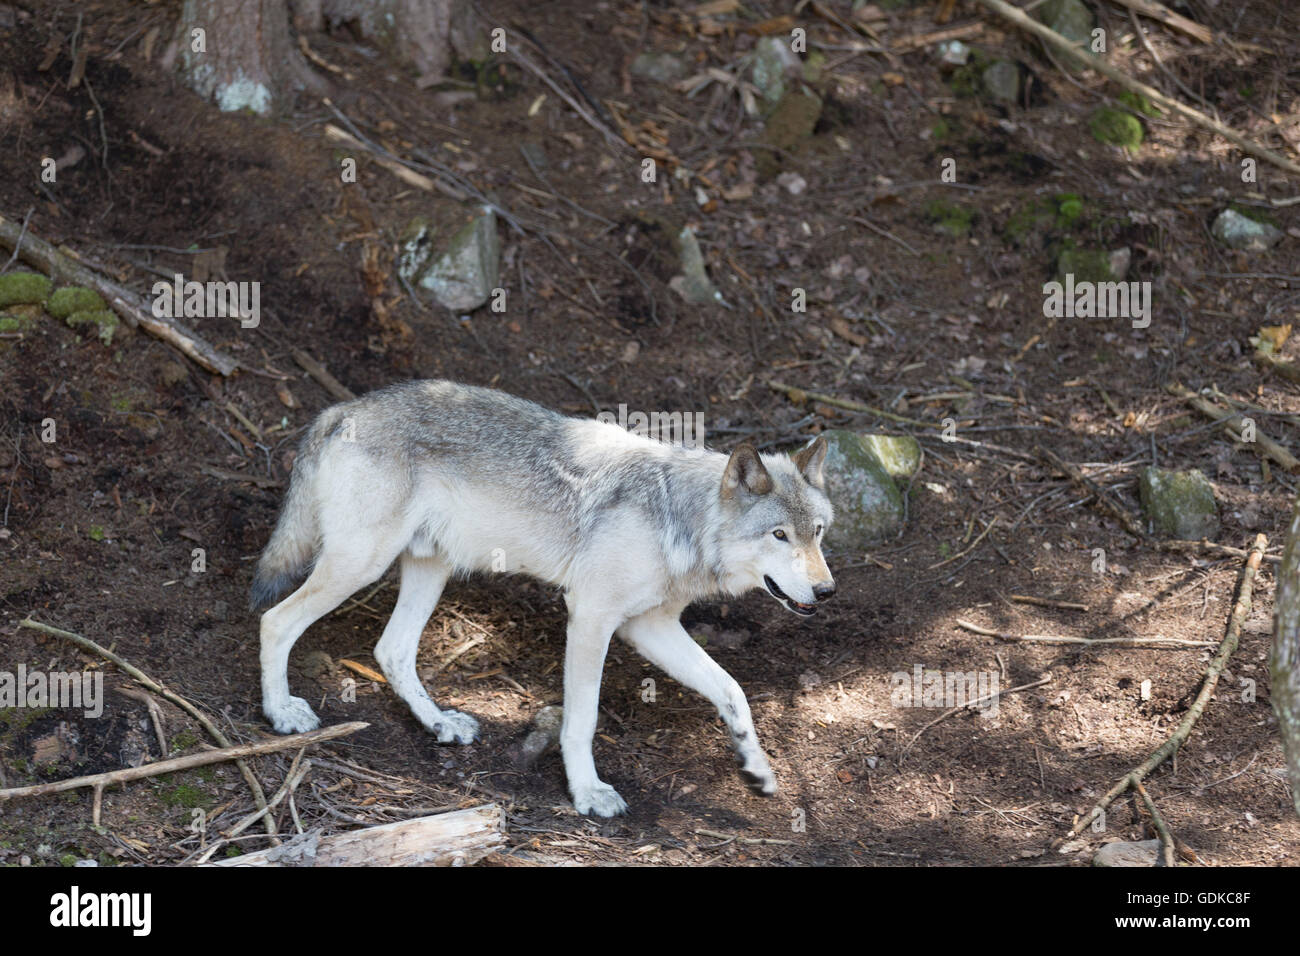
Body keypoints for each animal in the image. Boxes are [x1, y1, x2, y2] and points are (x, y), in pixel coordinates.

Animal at [250, 380, 836, 817]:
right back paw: (281, 714)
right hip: (360, 565)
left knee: (390, 651)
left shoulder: (650, 627)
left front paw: (755, 767)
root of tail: (344, 408)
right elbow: (583, 719)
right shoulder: (592, 617)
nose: (827, 591)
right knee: (275, 621)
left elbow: (733, 690)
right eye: (779, 535)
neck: (682, 521)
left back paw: (440, 724)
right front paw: (588, 793)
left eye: (818, 534)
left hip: (430, 568)